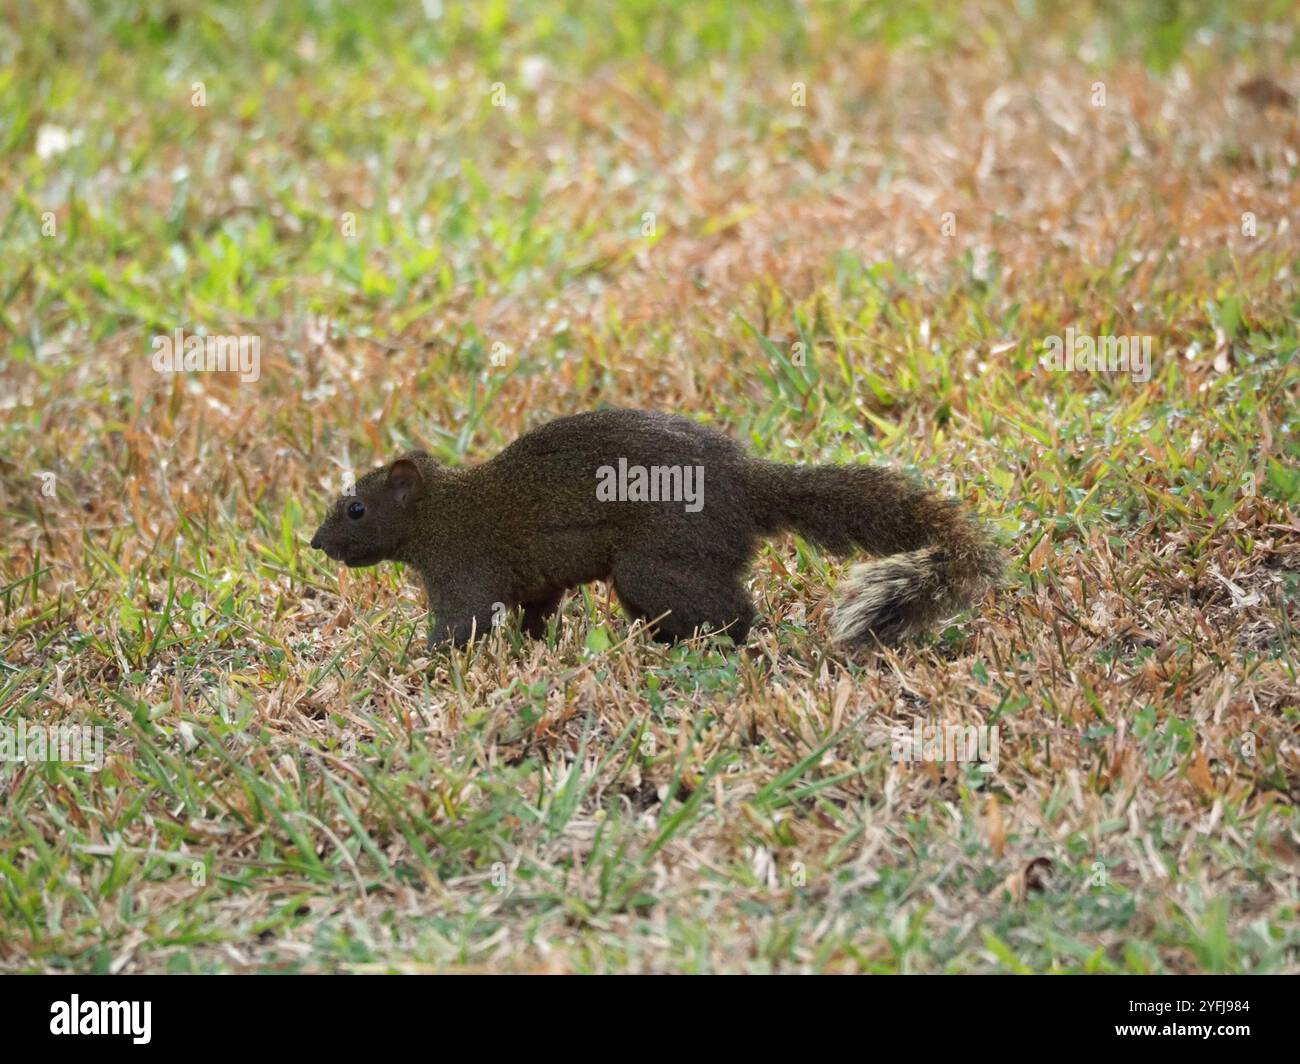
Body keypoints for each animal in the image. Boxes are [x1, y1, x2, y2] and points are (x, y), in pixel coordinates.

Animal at [309, 408, 1002, 649]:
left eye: (356, 509)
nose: (316, 543)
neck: (443, 510)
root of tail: (745, 485)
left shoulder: (465, 568)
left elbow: (463, 624)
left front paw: (419, 661)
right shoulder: (534, 578)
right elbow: (537, 607)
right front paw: (535, 644)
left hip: (654, 563)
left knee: (733, 609)